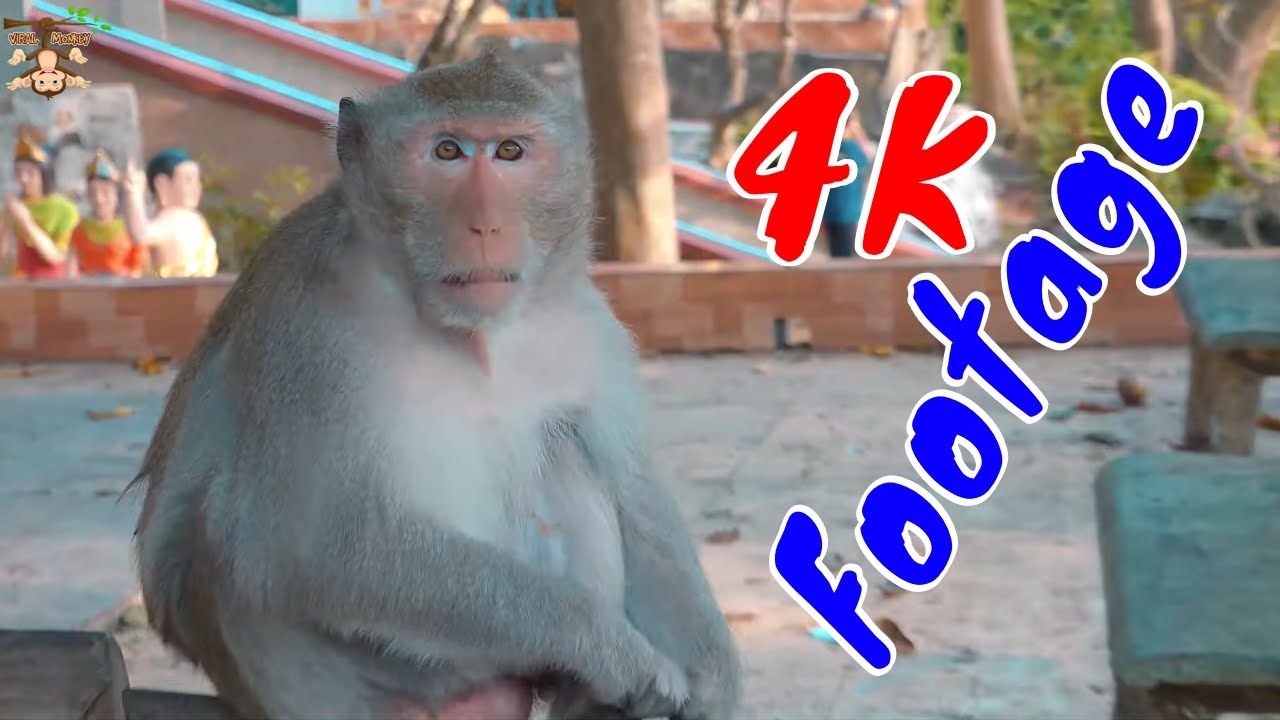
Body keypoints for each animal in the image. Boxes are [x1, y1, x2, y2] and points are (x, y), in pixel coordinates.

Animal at [129, 52, 742, 720]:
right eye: (447, 151)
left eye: (509, 151)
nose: (485, 225)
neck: (468, 334)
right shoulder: (310, 328)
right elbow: (314, 543)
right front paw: (613, 651)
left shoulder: (586, 325)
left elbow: (633, 488)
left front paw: (716, 679)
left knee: (566, 447)